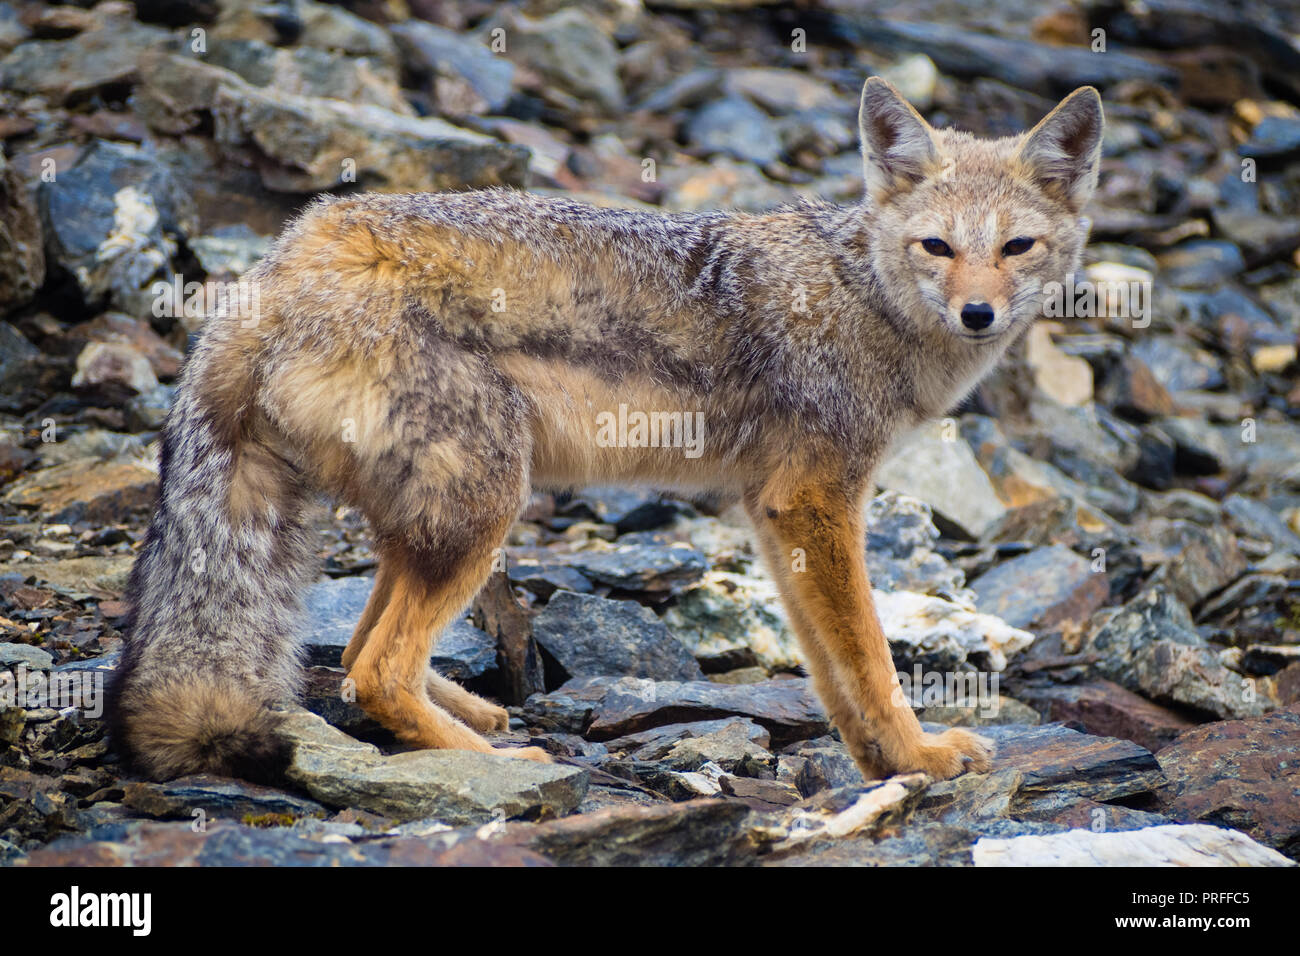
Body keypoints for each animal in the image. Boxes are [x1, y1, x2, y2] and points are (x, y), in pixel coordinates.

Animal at [106, 77, 1104, 785]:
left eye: (1015, 248)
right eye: (938, 247)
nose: (978, 314)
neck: (861, 294)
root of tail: (280, 263)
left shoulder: (776, 513)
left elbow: (831, 669)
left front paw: (883, 765)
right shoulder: (816, 501)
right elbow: (869, 656)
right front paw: (921, 757)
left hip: (435, 518)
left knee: (355, 654)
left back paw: (470, 717)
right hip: (484, 506)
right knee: (377, 667)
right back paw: (491, 764)